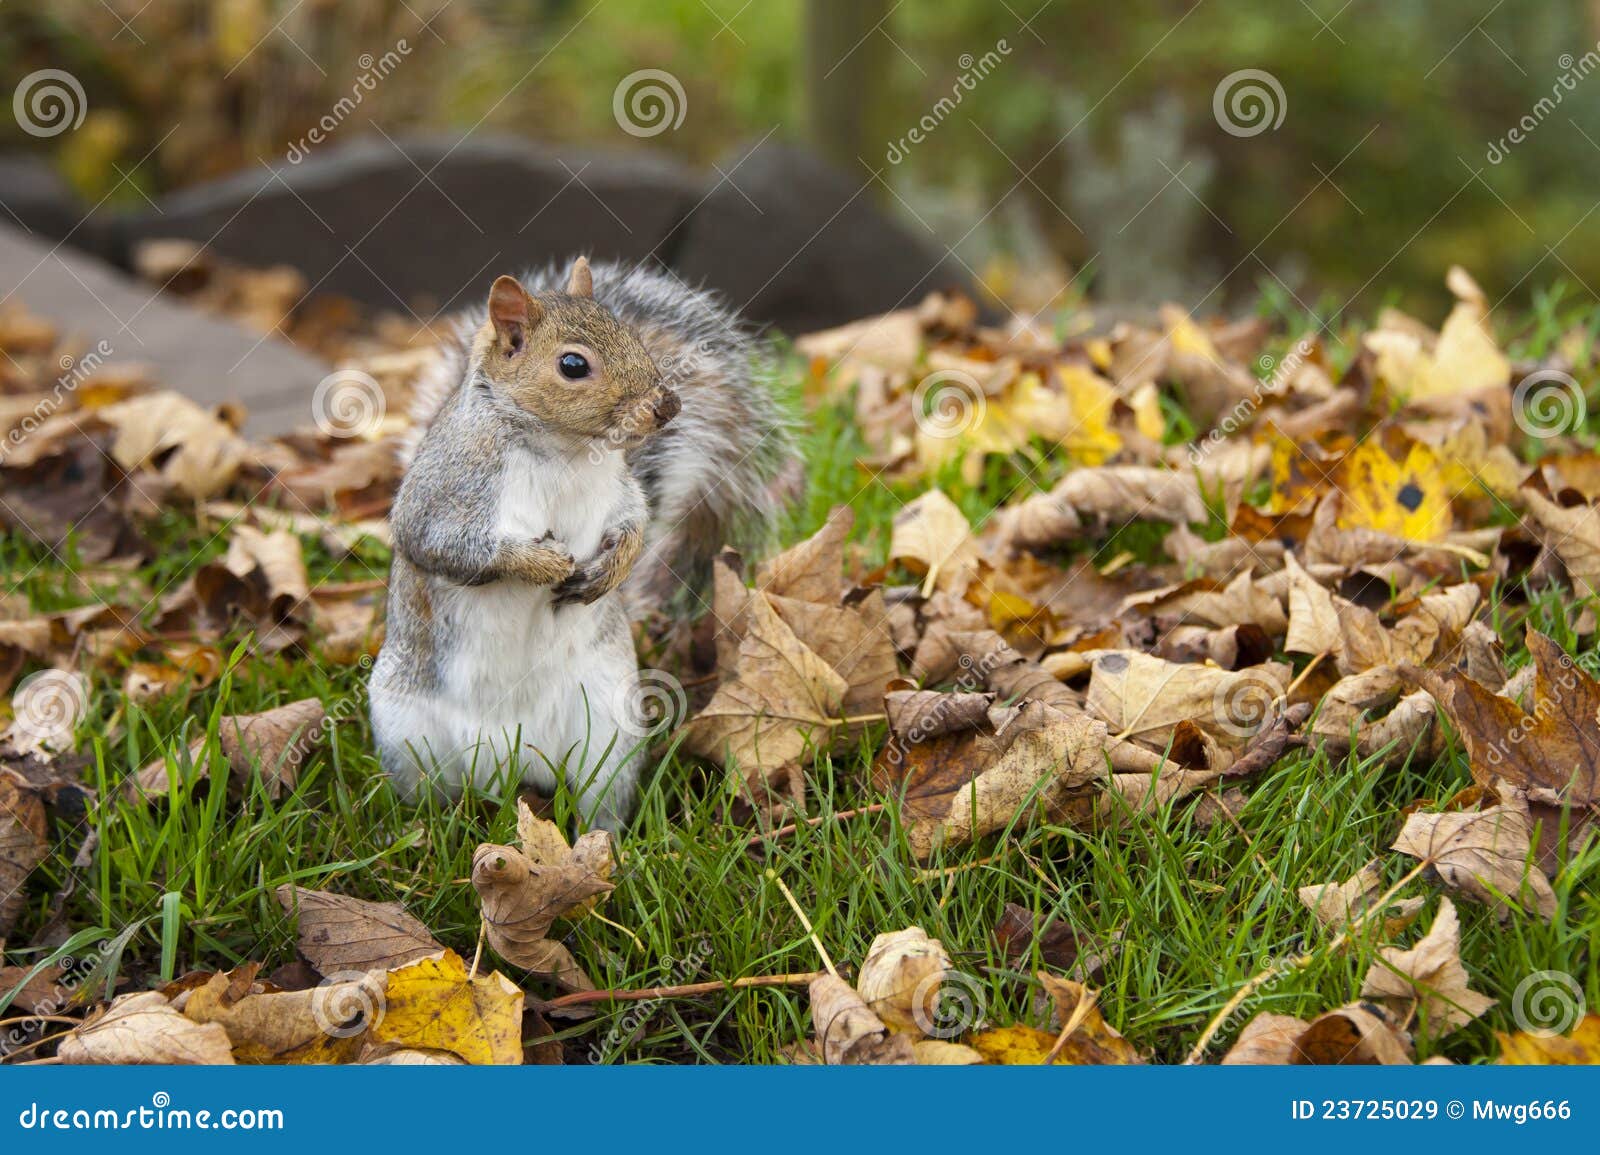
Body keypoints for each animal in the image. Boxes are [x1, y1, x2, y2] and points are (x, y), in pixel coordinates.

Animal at [372, 257, 795, 829]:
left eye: (633, 334)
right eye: (573, 365)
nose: (668, 405)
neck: (563, 449)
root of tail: (513, 763)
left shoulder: (621, 491)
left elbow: (635, 524)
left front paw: (609, 571)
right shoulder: (444, 489)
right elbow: (436, 543)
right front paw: (539, 563)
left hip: (609, 728)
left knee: (603, 797)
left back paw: (605, 839)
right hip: (405, 732)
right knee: (430, 797)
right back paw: (427, 828)